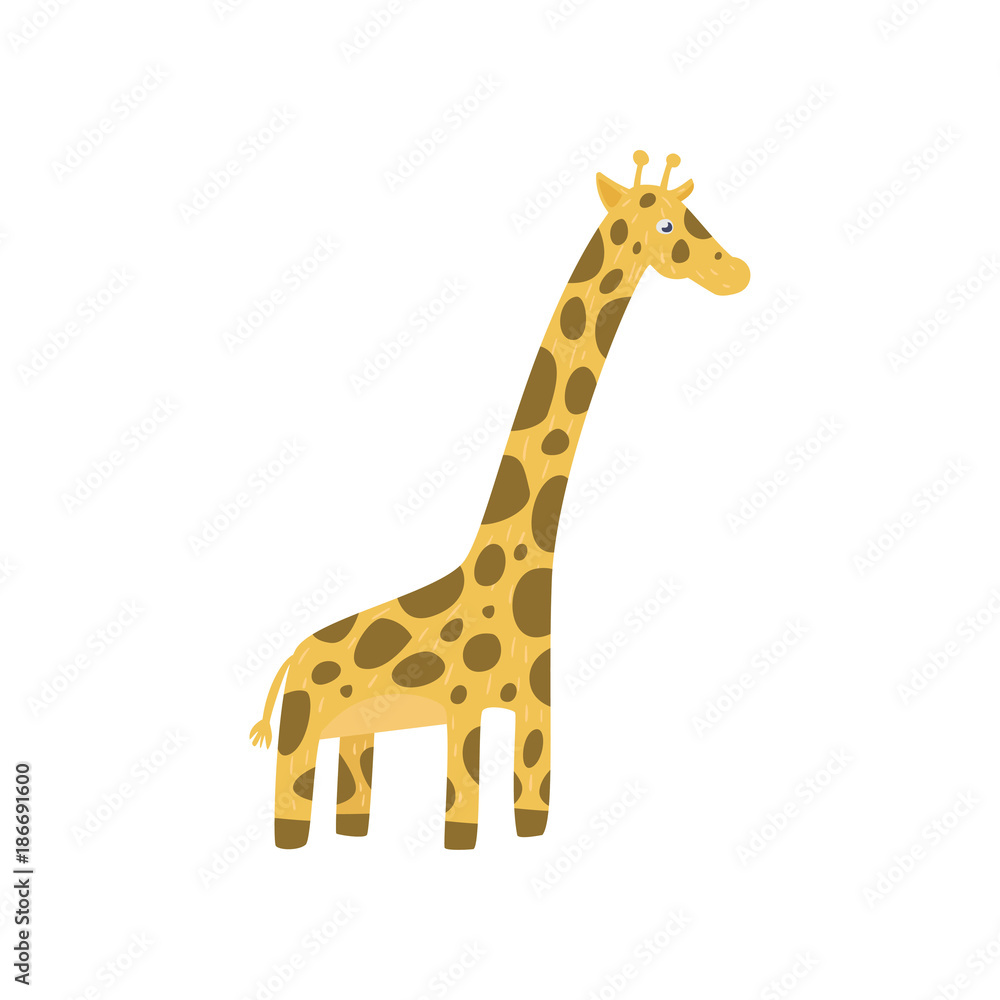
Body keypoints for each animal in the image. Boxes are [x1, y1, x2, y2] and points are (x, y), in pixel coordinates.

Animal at [250, 150, 750, 849]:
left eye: (692, 213)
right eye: (670, 225)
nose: (736, 271)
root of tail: (290, 659)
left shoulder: (536, 708)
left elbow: (532, 805)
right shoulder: (464, 707)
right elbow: (462, 819)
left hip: (357, 736)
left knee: (353, 807)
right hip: (301, 734)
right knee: (289, 806)